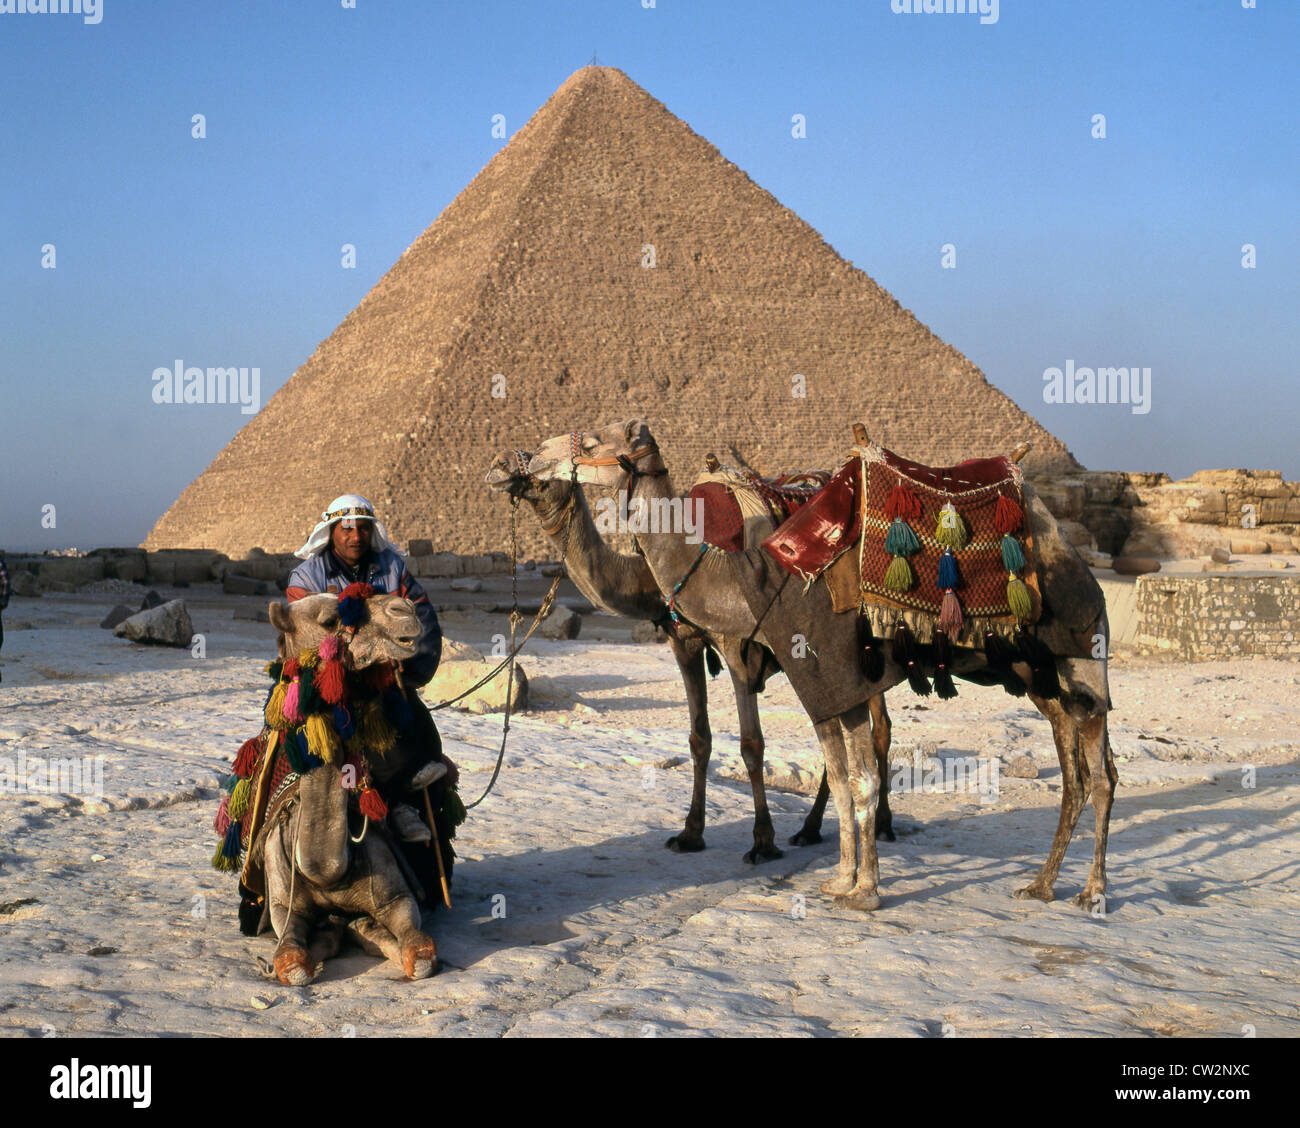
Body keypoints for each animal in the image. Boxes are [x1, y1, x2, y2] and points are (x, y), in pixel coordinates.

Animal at [248, 593, 440, 984]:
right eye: (329, 619)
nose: (404, 609)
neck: (325, 870)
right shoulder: (284, 908)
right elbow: (292, 963)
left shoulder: (397, 898)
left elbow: (419, 952)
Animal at [486, 449, 883, 862]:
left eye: (542, 463)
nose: (499, 465)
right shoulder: (683, 642)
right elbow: (699, 739)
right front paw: (690, 833)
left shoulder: (735, 646)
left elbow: (751, 743)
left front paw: (762, 841)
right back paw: (812, 828)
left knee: (878, 728)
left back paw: (873, 826)